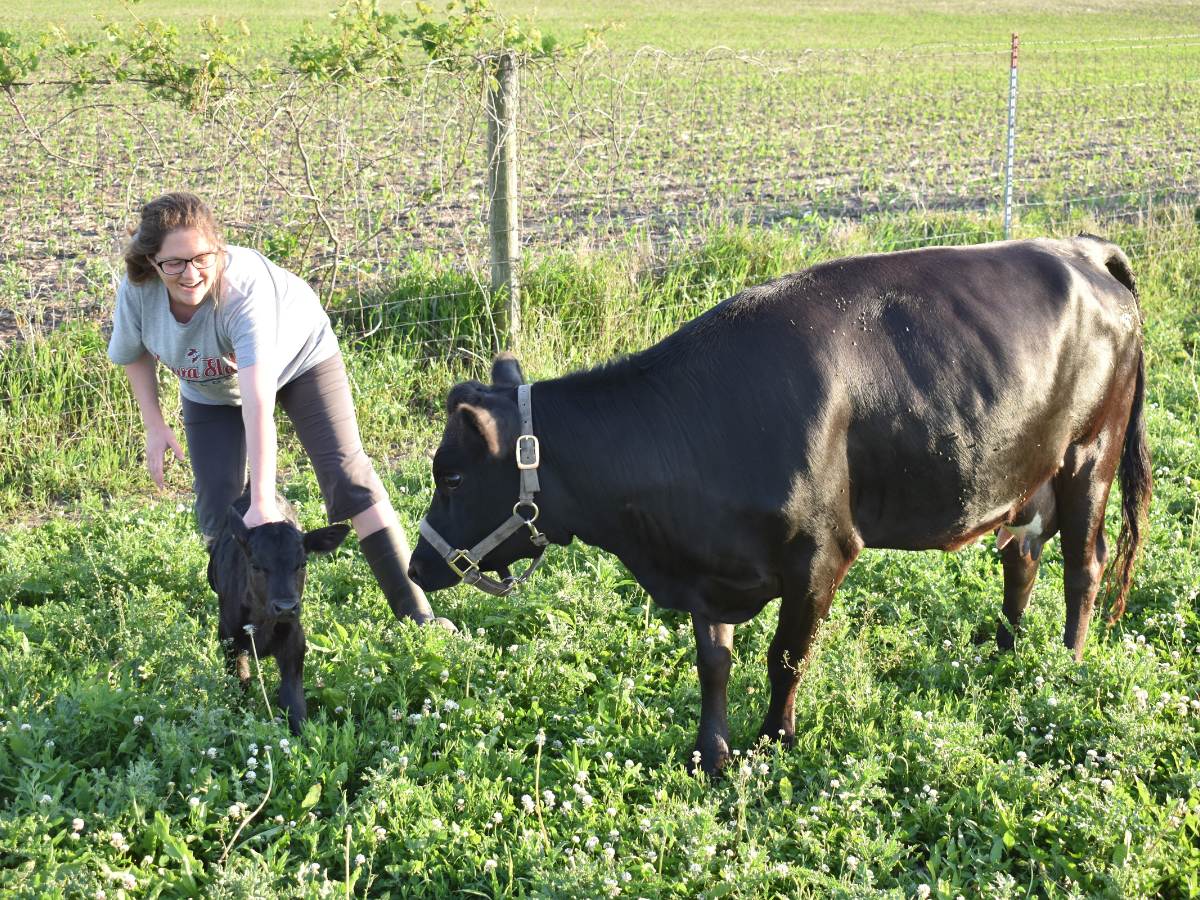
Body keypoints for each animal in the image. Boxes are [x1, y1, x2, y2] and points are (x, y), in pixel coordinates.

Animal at [209, 490, 350, 734]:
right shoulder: (229, 639)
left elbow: (293, 702)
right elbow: (239, 685)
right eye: (255, 565)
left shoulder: (295, 644)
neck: (263, 622)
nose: (285, 607)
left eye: (303, 564)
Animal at [408, 235, 1151, 774]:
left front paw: (773, 742)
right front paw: (710, 754)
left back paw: (1064, 665)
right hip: (1026, 473)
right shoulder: (707, 568)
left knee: (1084, 564)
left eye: (451, 478)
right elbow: (714, 662)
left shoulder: (821, 553)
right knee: (1022, 557)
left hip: (1091, 454)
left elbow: (785, 657)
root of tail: (1080, 248)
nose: (416, 566)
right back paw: (1003, 650)